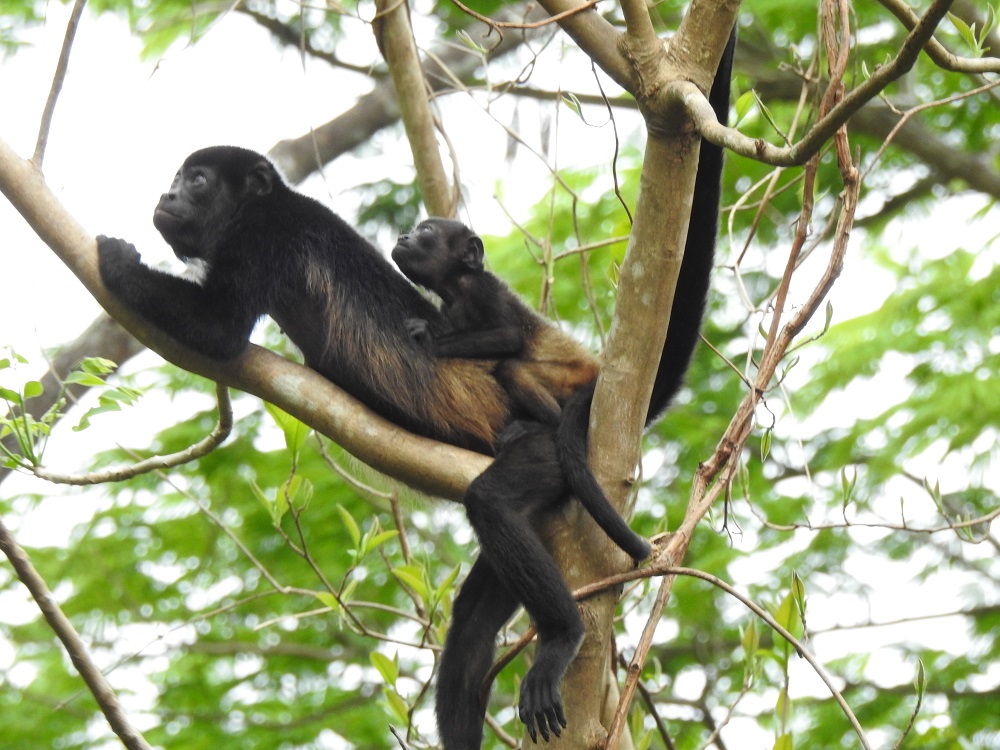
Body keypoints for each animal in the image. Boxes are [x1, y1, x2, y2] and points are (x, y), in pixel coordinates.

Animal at [392, 218, 652, 564]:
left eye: (426, 231)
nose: (404, 236)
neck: (456, 288)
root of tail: (594, 369)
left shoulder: (483, 290)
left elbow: (510, 336)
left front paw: (431, 340)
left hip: (567, 377)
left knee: (511, 369)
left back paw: (543, 425)